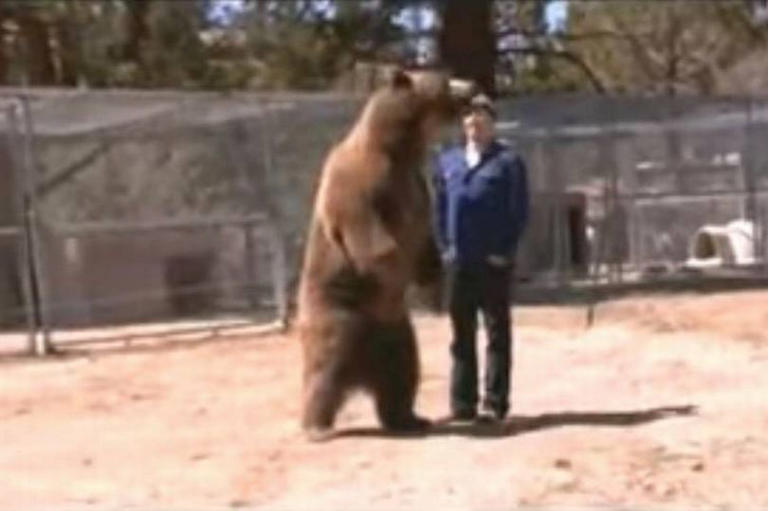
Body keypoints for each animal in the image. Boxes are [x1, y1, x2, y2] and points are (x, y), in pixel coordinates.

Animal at [295, 69, 475, 441]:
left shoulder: (416, 185)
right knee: (326, 365)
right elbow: (377, 245)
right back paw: (316, 425)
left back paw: (408, 417)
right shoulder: (361, 185)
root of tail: (361, 369)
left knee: (402, 371)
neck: (401, 148)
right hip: (338, 312)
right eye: (446, 79)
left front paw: (434, 281)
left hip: (395, 332)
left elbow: (424, 237)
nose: (474, 87)